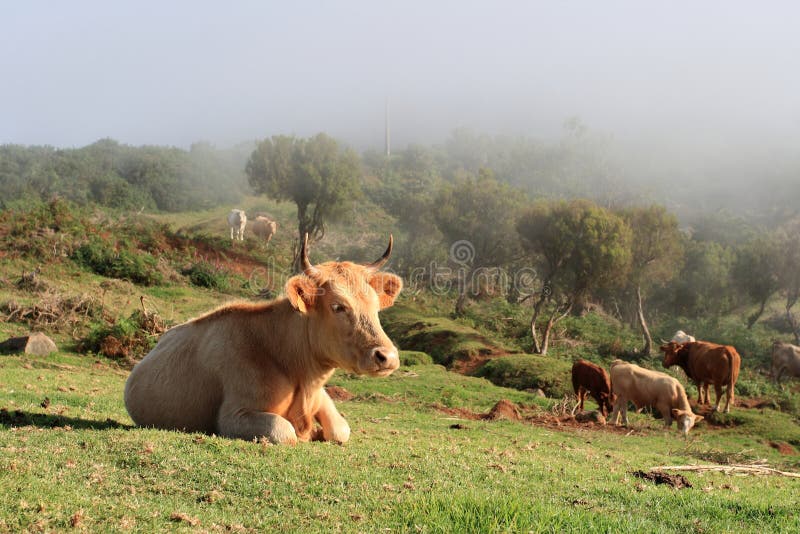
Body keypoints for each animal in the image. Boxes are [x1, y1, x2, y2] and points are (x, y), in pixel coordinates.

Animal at [124, 235, 402, 445]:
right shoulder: (232, 416)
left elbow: (340, 430)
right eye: (338, 307)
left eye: (376, 306)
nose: (387, 356)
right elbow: (284, 431)